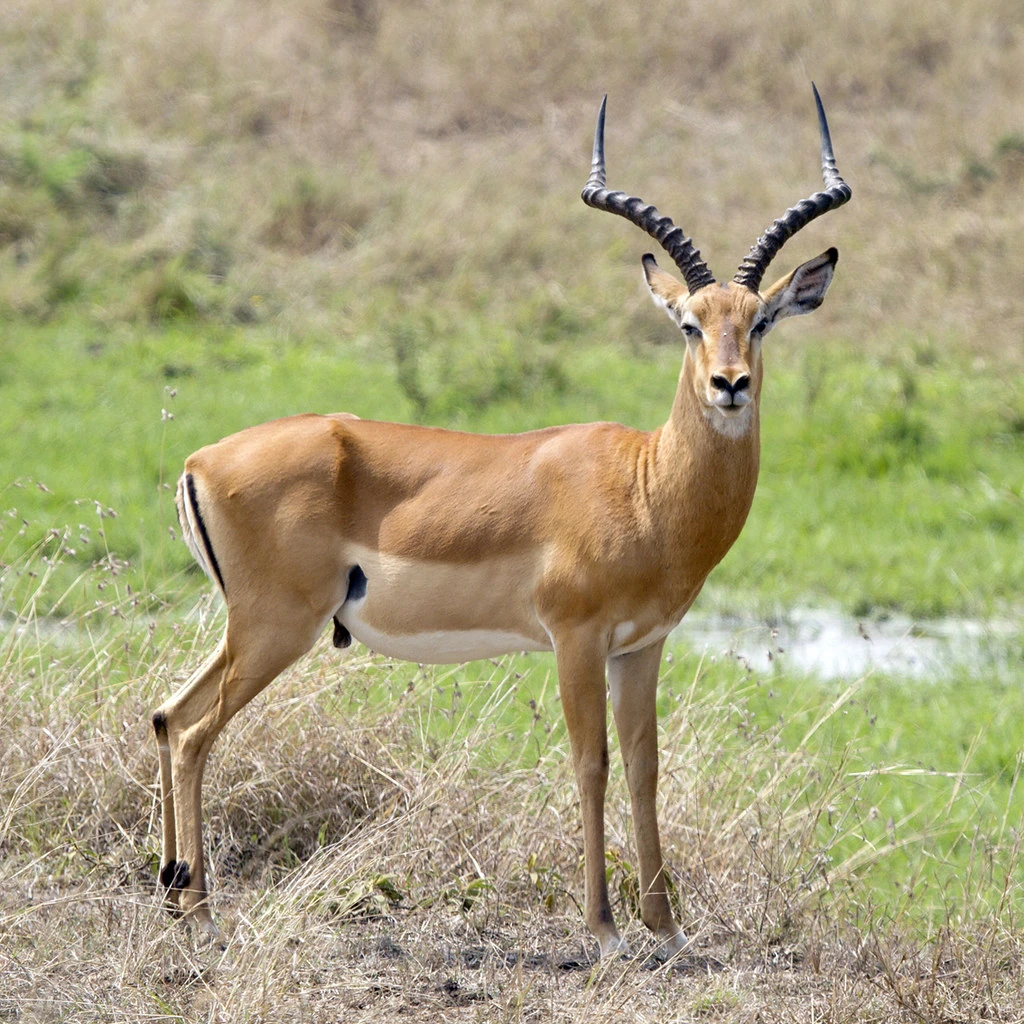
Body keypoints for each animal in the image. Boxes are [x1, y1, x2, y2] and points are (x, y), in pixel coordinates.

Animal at [152, 85, 850, 958]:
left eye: (761, 321)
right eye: (689, 323)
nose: (730, 384)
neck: (646, 485)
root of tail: (200, 460)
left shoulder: (642, 646)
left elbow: (647, 767)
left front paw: (665, 926)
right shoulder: (576, 638)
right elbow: (591, 764)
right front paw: (604, 928)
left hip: (251, 629)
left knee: (168, 716)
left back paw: (176, 897)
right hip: (278, 627)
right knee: (193, 733)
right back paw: (202, 914)